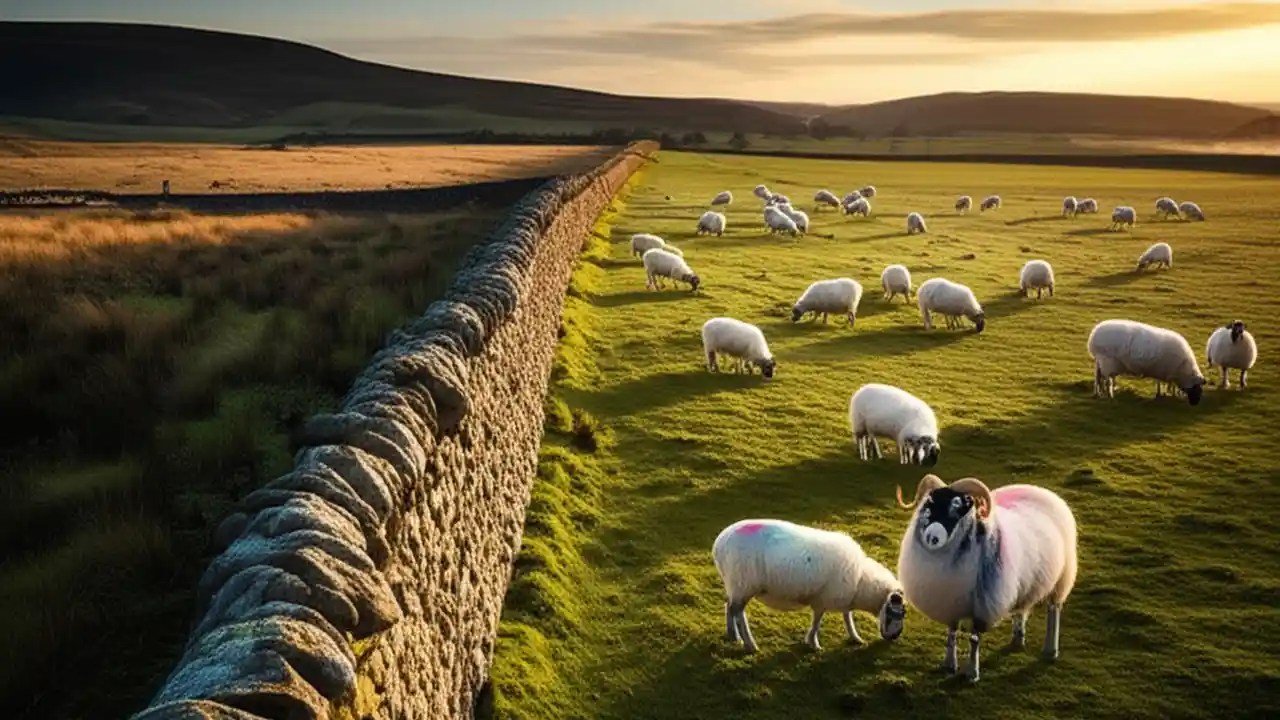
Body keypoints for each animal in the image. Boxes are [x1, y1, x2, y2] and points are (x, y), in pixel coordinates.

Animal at [713, 519, 906, 653]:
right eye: (893, 613)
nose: (894, 637)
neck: (861, 582)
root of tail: (719, 543)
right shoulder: (824, 598)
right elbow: (817, 621)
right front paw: (814, 643)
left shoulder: (843, 595)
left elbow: (847, 616)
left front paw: (855, 637)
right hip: (743, 583)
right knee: (738, 612)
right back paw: (749, 644)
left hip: (734, 584)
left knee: (729, 606)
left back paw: (733, 636)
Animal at [895, 474, 1078, 682]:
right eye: (929, 504)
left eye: (958, 506)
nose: (932, 538)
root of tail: (1044, 492)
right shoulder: (950, 603)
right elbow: (951, 633)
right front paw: (949, 665)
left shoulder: (982, 607)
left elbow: (974, 639)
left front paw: (972, 674)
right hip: (1025, 582)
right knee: (1021, 609)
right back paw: (1018, 639)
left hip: (1062, 579)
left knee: (1054, 611)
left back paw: (1050, 650)